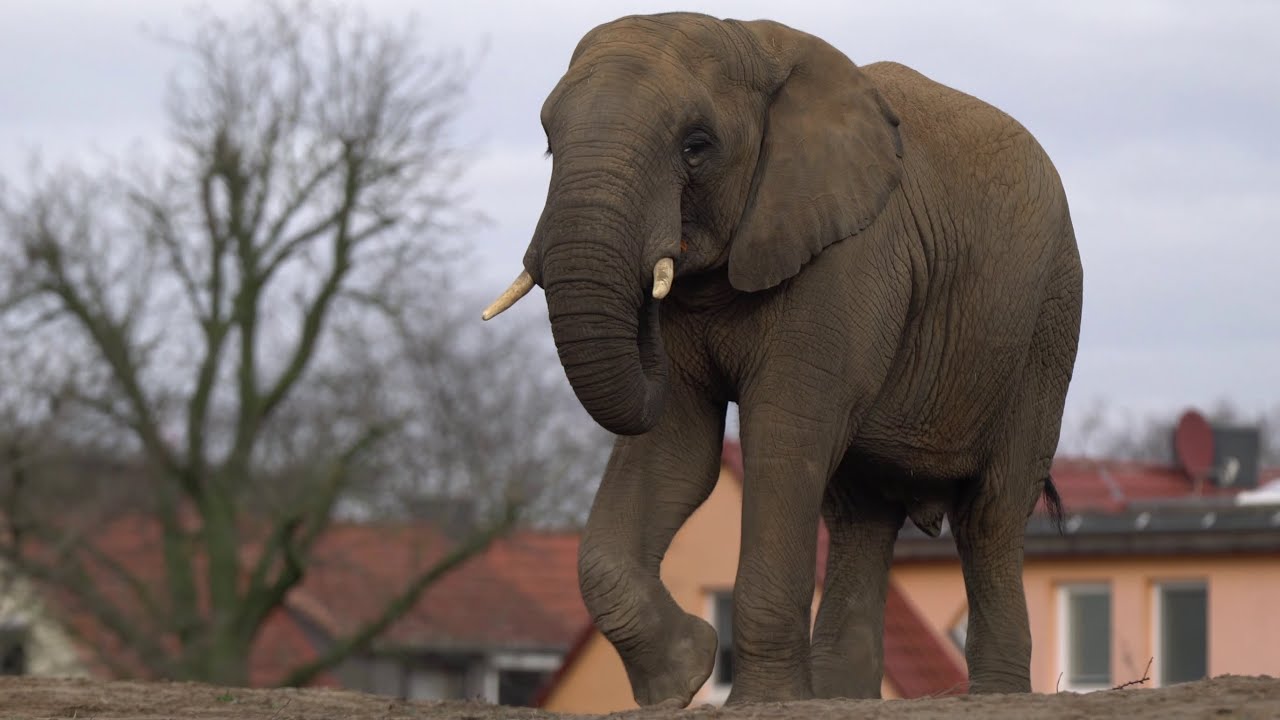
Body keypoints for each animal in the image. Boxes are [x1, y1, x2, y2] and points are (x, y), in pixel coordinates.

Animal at [482, 12, 1081, 707]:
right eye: (550, 145)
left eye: (696, 146)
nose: (651, 286)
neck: (755, 43)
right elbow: (676, 450)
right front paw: (684, 677)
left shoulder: (845, 259)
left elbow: (783, 439)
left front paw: (760, 700)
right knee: (859, 517)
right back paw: (843, 698)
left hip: (1047, 327)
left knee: (991, 513)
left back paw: (995, 695)